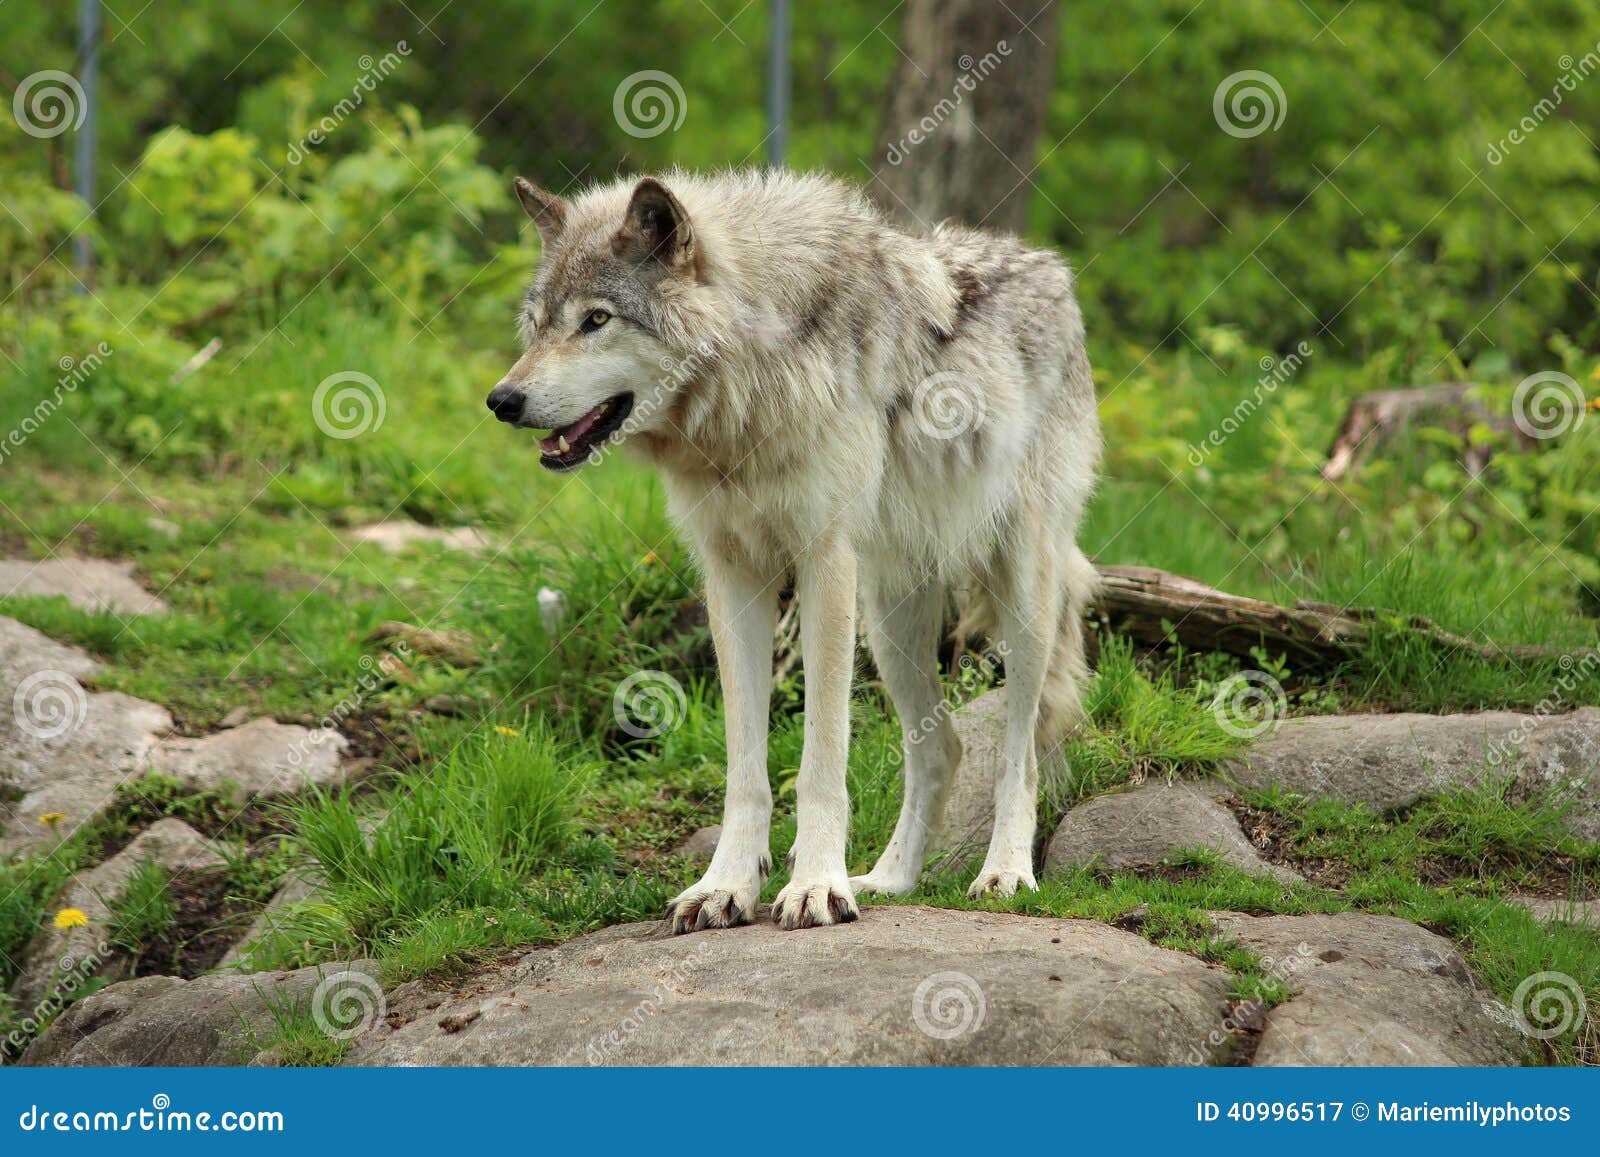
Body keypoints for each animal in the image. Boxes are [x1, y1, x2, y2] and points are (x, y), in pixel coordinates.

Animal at [487, 169, 1099, 932]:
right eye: (540, 322)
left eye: (597, 320)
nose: (501, 400)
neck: (748, 390)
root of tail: (1054, 269)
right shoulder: (730, 573)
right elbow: (744, 767)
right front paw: (724, 887)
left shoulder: (823, 561)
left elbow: (820, 760)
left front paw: (814, 887)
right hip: (891, 621)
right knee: (943, 749)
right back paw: (890, 878)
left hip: (1020, 597)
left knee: (1025, 748)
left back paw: (1006, 872)